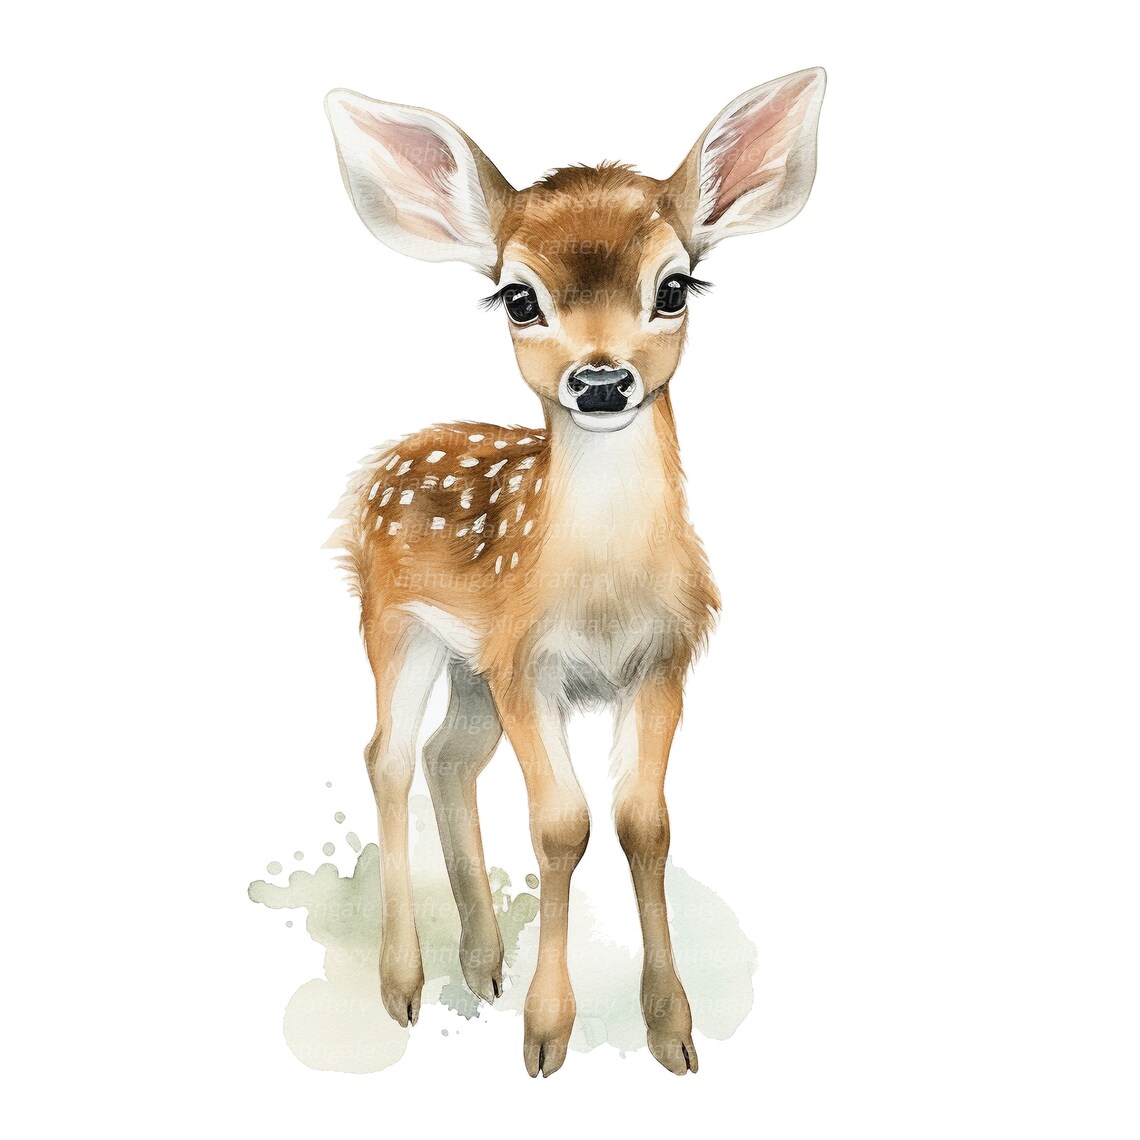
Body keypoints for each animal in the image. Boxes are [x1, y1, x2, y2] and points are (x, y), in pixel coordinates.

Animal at [323, 67, 826, 1078]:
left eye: (675, 285)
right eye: (519, 299)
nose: (600, 382)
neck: (600, 599)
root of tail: (385, 461)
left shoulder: (660, 660)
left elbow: (644, 825)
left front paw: (670, 1027)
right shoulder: (531, 664)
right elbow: (562, 828)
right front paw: (547, 1032)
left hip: (474, 667)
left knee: (447, 758)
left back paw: (482, 962)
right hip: (395, 624)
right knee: (387, 757)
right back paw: (404, 983)